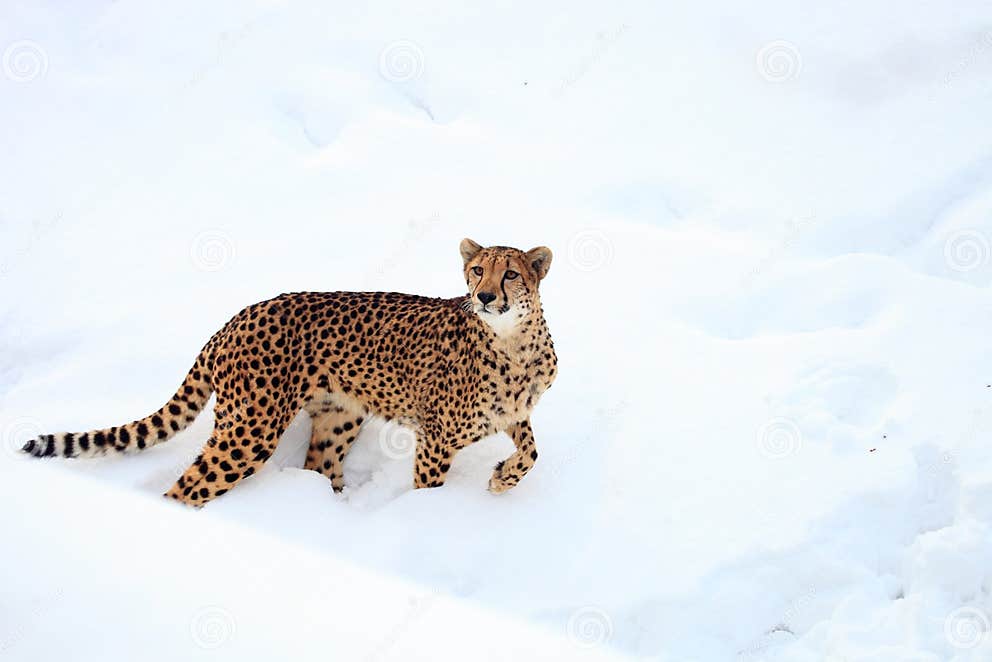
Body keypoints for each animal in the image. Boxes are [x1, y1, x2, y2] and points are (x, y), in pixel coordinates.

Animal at [22, 239, 557, 507]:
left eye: (511, 273)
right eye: (478, 270)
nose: (484, 296)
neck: (513, 344)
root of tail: (237, 316)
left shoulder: (515, 414)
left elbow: (533, 451)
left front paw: (503, 479)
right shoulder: (435, 437)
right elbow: (431, 486)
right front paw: (430, 517)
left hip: (339, 414)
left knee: (318, 464)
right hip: (250, 430)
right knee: (187, 487)